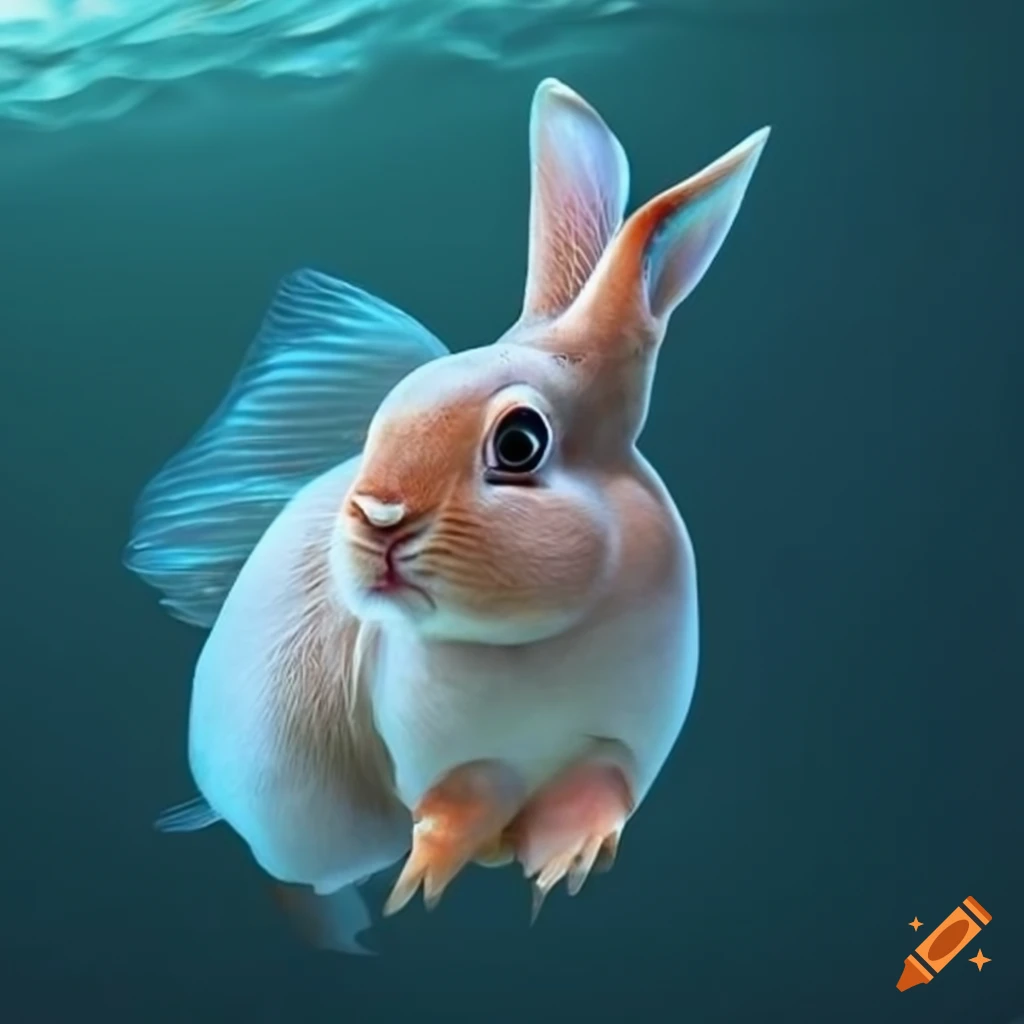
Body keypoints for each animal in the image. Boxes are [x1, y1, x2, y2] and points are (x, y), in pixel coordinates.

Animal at [125, 77, 769, 952]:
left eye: (520, 442)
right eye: (378, 426)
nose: (378, 519)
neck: (540, 643)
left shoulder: (619, 750)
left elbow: (590, 798)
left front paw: (560, 867)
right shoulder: (443, 762)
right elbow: (462, 801)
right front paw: (424, 879)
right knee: (294, 875)